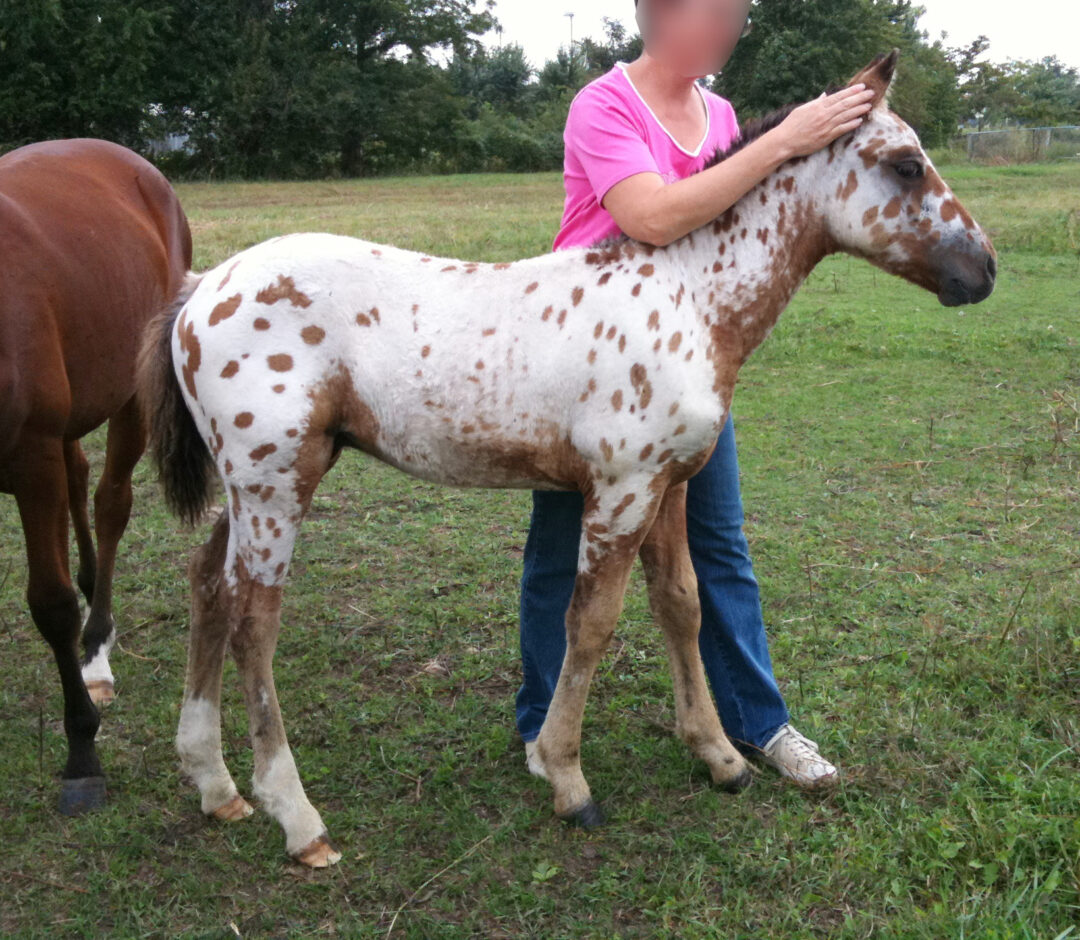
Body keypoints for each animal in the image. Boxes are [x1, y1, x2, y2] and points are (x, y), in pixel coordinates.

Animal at [0, 138, 192, 813]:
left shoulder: (30, 453)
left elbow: (51, 603)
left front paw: (82, 750)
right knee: (80, 479)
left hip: (130, 391)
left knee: (110, 502)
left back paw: (97, 639)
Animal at [140, 50, 995, 866]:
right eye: (906, 165)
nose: (984, 269)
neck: (690, 300)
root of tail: (201, 286)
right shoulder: (621, 490)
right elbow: (590, 623)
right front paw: (566, 778)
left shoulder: (669, 487)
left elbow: (682, 604)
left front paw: (720, 757)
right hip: (276, 481)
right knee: (254, 621)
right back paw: (297, 819)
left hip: (253, 488)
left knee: (208, 587)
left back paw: (215, 785)